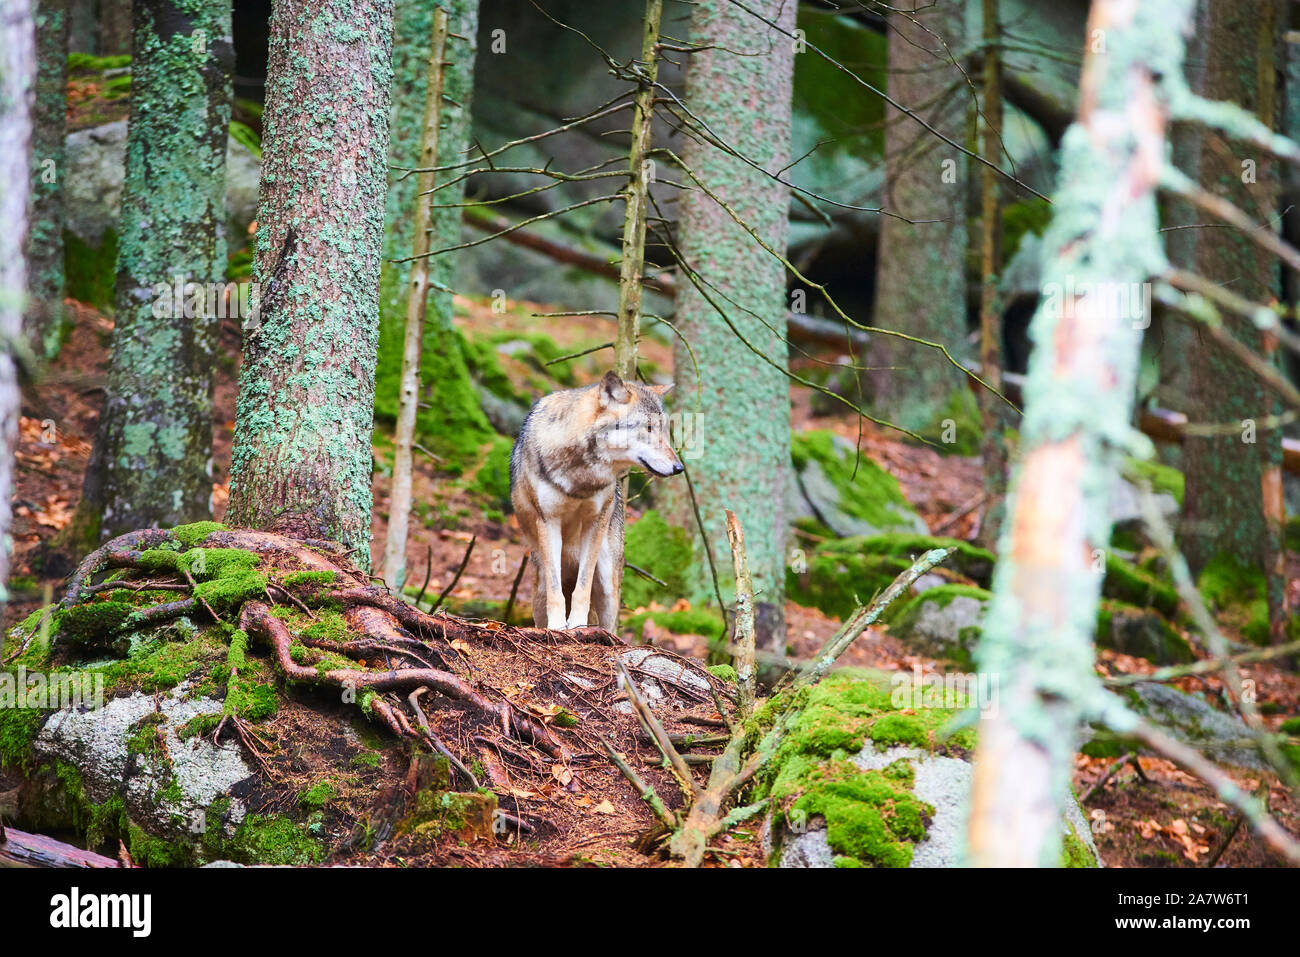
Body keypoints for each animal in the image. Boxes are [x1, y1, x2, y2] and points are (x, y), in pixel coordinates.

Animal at [510, 371, 684, 631]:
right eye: (649, 428)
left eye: (665, 431)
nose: (679, 467)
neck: (581, 477)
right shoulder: (548, 521)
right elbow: (556, 590)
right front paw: (559, 626)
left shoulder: (596, 520)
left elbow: (583, 585)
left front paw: (578, 625)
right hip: (539, 588)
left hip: (608, 583)